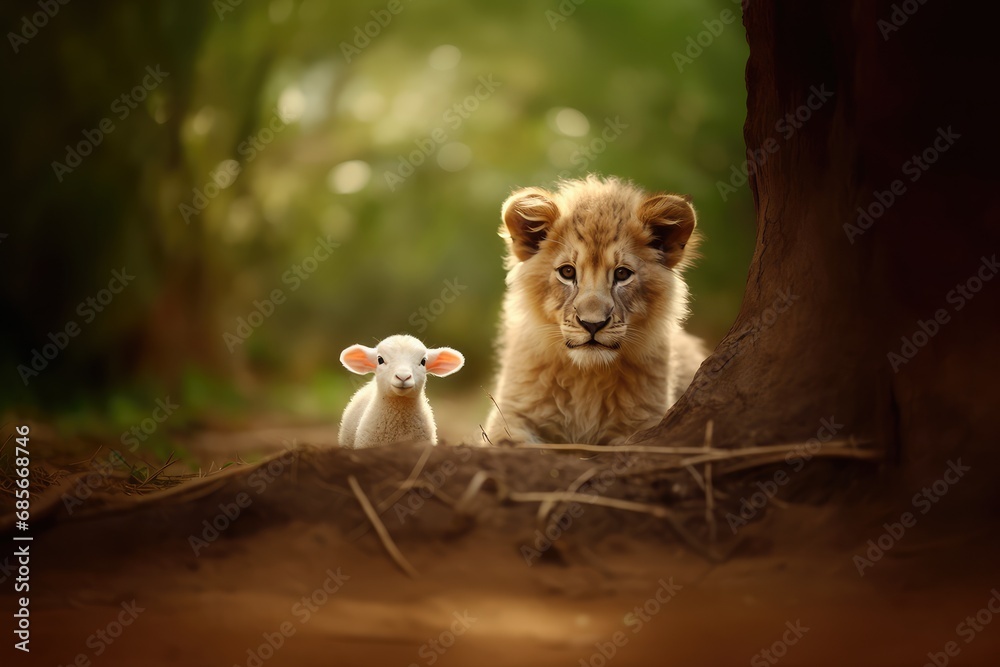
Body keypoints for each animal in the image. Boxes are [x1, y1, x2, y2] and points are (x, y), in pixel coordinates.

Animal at [484, 175, 707, 445]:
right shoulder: (510, 416)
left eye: (622, 274)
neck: (587, 377)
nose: (592, 324)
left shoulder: (646, 423)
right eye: (567, 272)